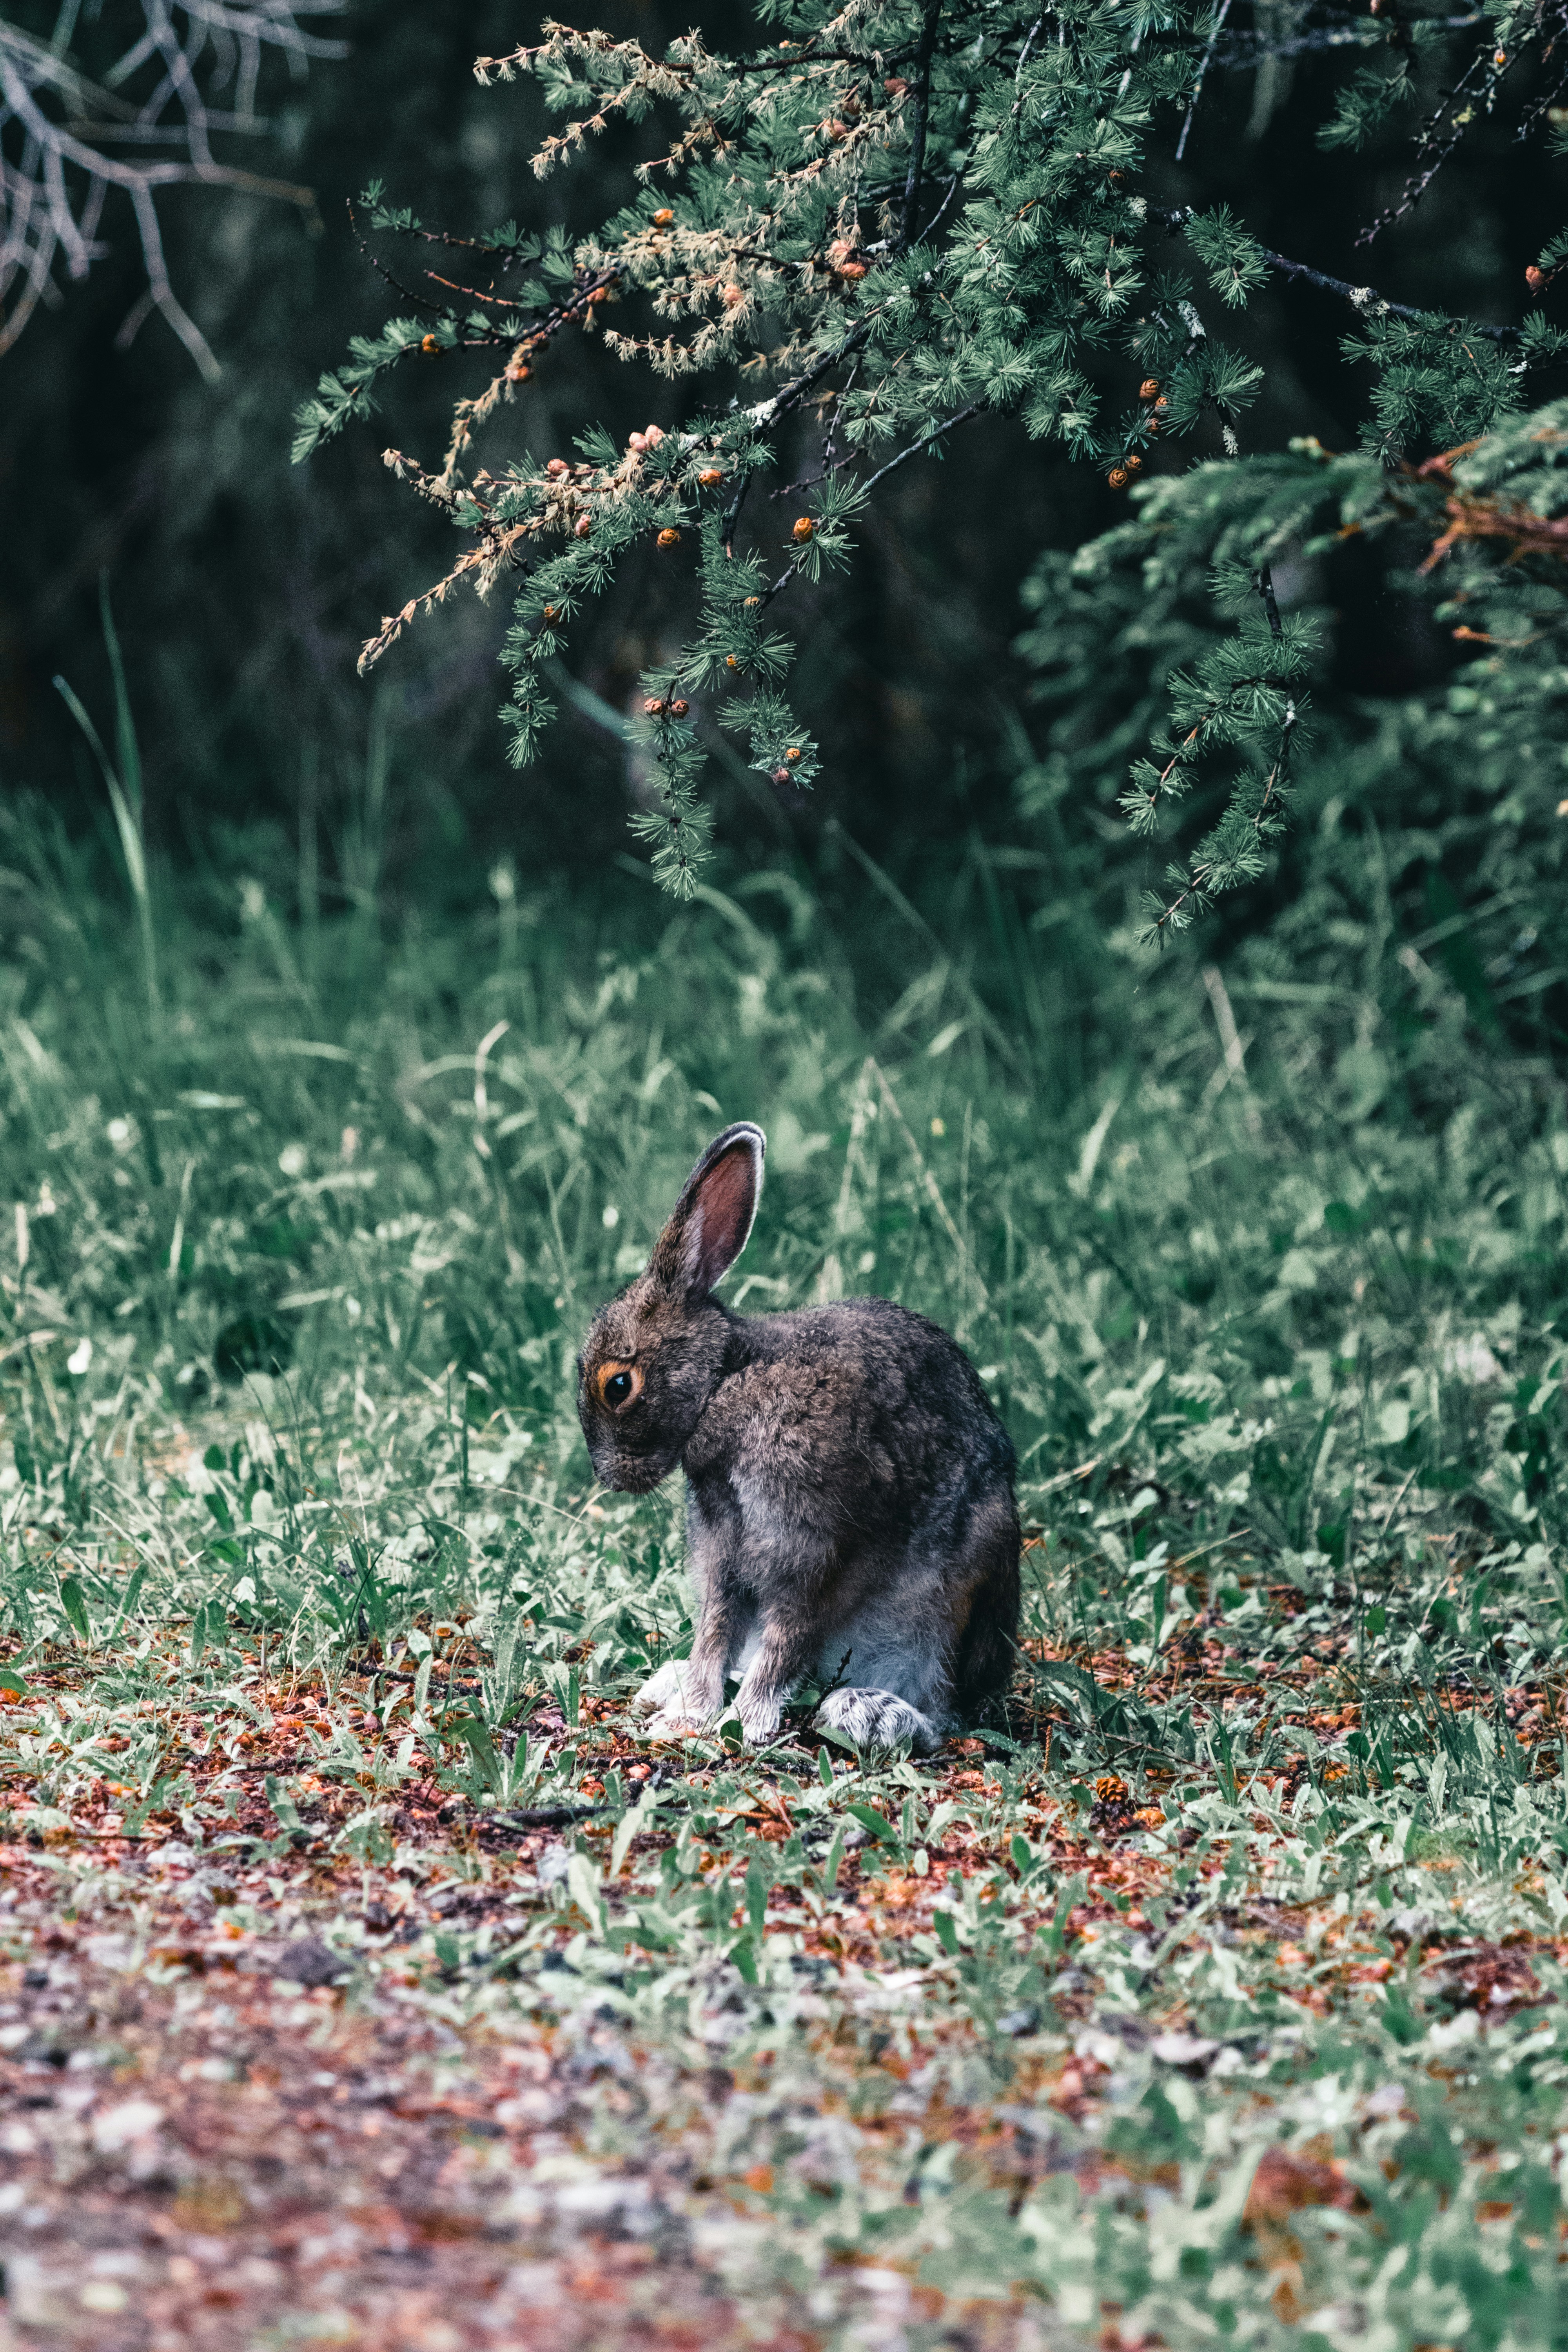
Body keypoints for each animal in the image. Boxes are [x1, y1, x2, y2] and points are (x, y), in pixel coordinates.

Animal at [576, 1121, 1020, 1754]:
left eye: (618, 1385)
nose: (608, 1476)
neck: (726, 1384)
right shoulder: (726, 1557)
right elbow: (715, 1633)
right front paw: (691, 1715)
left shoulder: (820, 1552)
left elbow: (789, 1639)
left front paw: (744, 1722)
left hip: (955, 1600)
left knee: (942, 1710)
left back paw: (870, 1713)